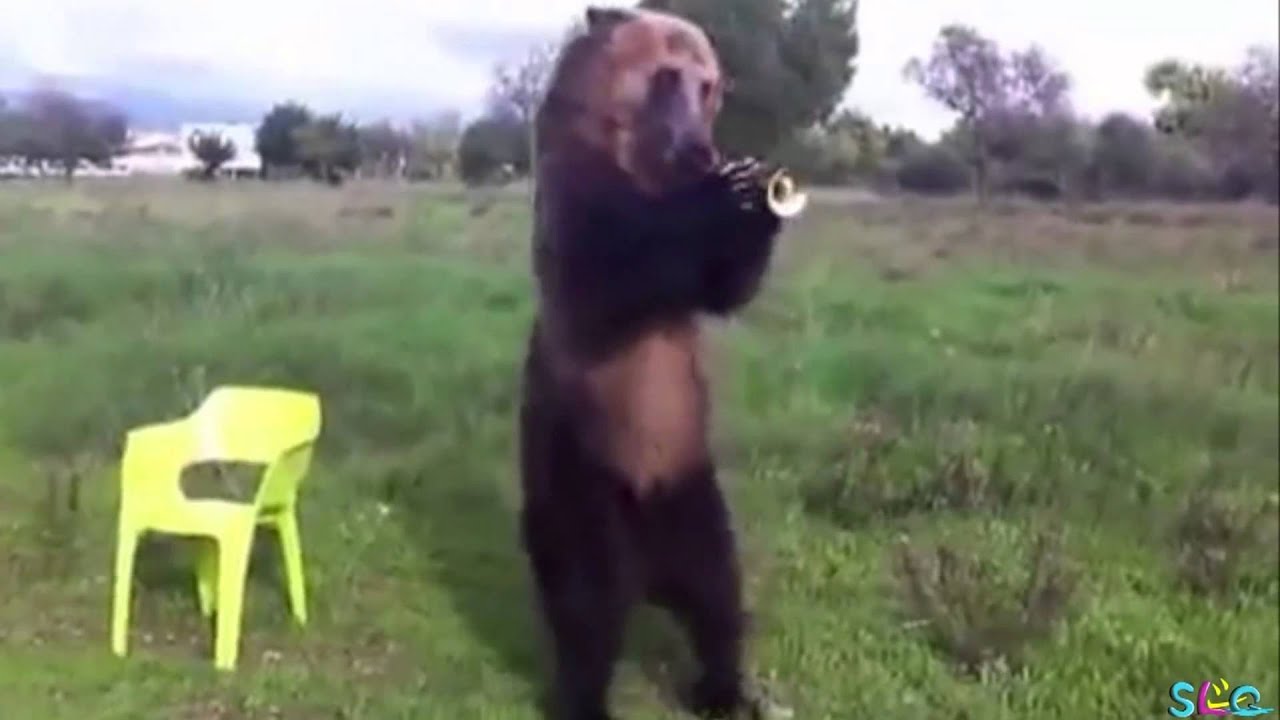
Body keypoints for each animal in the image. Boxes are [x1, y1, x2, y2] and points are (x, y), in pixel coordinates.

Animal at [516, 6, 785, 720]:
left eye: (707, 84)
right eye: (667, 75)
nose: (701, 149)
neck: (643, 161)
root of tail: (651, 569)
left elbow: (723, 285)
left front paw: (760, 196)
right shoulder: (574, 189)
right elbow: (613, 263)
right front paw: (728, 189)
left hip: (690, 483)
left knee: (718, 590)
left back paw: (723, 689)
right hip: (584, 471)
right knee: (588, 600)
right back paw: (585, 698)